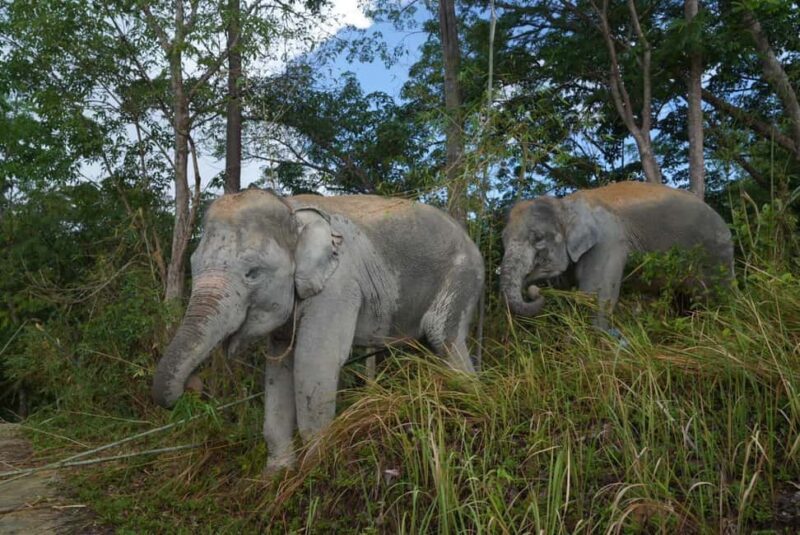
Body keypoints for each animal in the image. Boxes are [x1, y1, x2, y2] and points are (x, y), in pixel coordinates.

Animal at [152, 189, 484, 472]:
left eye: (252, 273)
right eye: (194, 265)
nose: (194, 384)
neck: (291, 210)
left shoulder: (339, 285)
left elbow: (313, 362)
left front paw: (314, 471)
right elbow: (279, 370)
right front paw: (276, 475)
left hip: (462, 276)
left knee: (443, 335)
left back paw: (472, 402)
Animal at [500, 181, 733, 329]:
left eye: (538, 238)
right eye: (503, 239)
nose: (534, 291)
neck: (565, 203)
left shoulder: (608, 241)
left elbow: (593, 295)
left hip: (715, 254)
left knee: (712, 298)